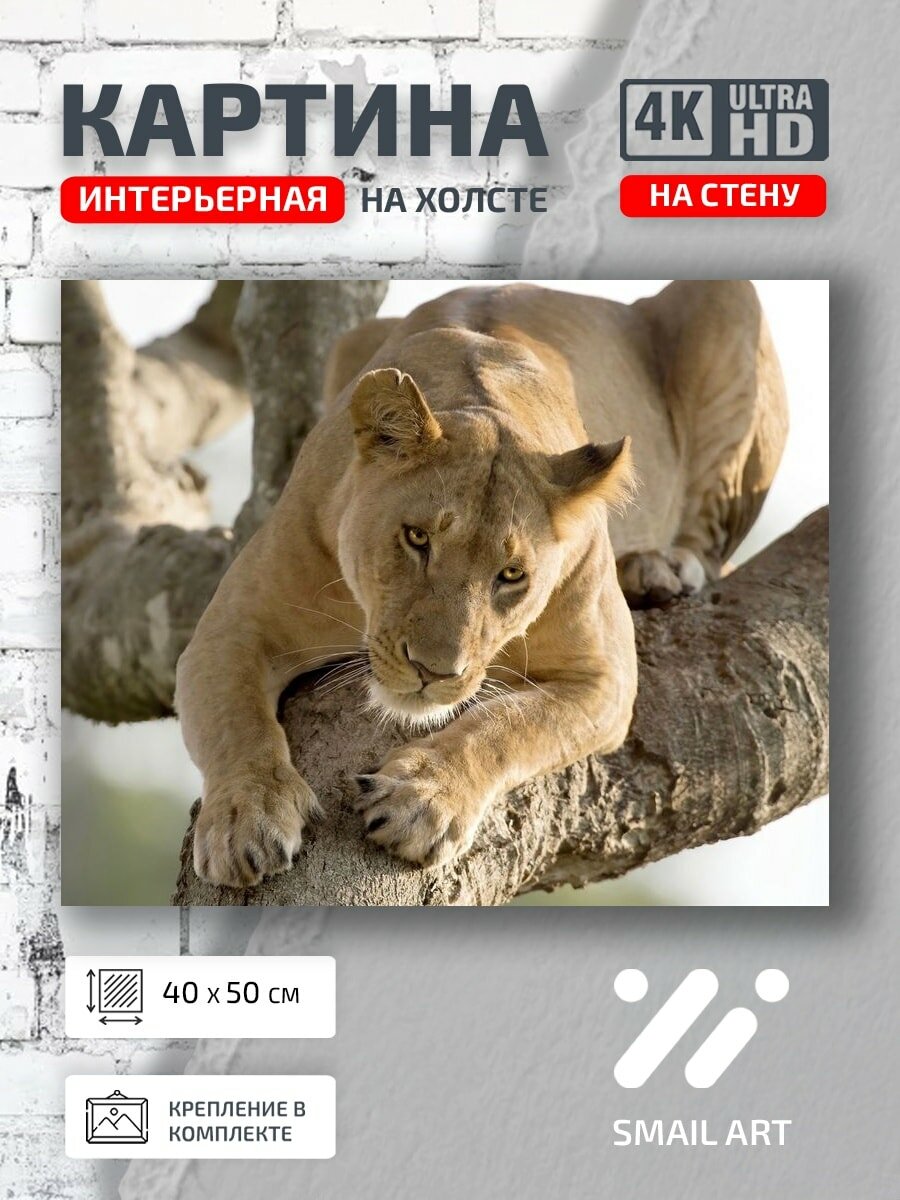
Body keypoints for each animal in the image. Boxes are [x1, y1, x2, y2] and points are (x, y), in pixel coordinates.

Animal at [175, 280, 788, 889]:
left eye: (512, 574)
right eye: (417, 538)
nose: (433, 673)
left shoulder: (604, 677)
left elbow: (507, 726)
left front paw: (424, 801)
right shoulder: (233, 627)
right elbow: (237, 722)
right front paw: (245, 819)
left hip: (728, 300)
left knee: (710, 544)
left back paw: (661, 568)